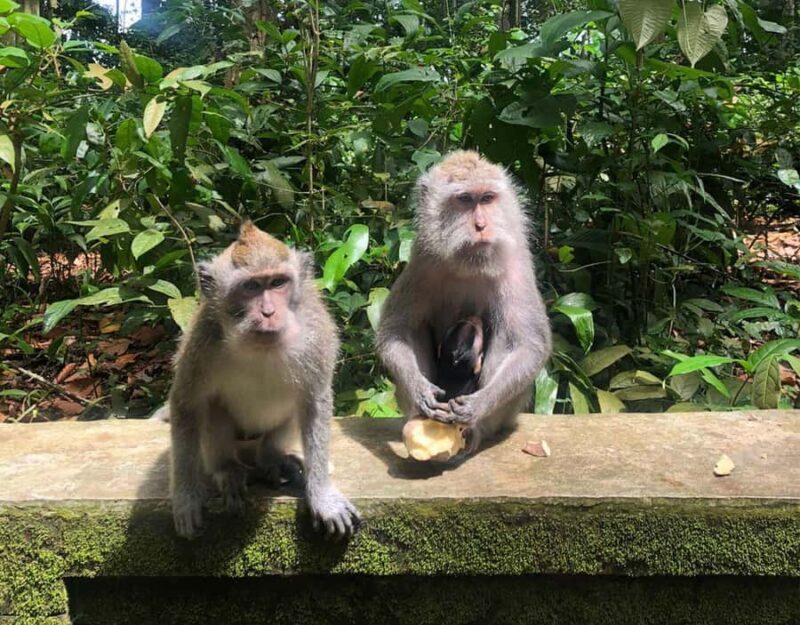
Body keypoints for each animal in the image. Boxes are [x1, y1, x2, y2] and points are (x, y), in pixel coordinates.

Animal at [168, 221, 359, 539]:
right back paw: (227, 470)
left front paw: (322, 495)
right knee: (213, 409)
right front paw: (185, 498)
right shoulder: (203, 341)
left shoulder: (316, 335)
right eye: (251, 287)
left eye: (278, 283)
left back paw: (273, 461)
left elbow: (315, 401)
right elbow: (187, 403)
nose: (269, 312)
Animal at [377, 150, 552, 455]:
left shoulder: (515, 265)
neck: (471, 264)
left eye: (487, 198)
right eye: (465, 200)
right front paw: (419, 389)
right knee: (417, 328)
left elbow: (529, 344)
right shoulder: (423, 261)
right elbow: (395, 331)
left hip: (506, 415)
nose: (481, 226)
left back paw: (473, 431)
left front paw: (477, 406)